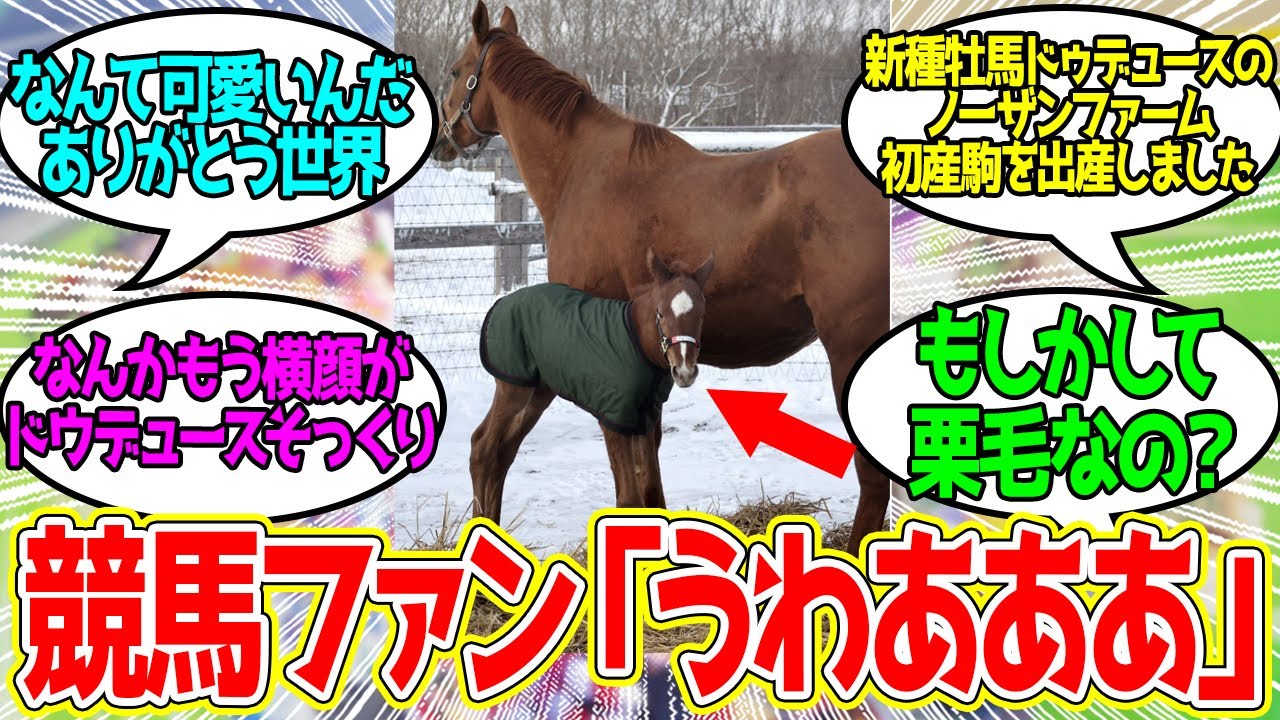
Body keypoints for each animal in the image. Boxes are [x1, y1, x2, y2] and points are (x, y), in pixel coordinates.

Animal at [471, 249, 714, 522]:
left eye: (702, 315)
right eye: (661, 313)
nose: (684, 371)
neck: (636, 341)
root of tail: (501, 302)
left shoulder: (646, 416)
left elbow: (652, 491)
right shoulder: (613, 415)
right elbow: (628, 499)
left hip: (539, 394)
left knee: (504, 449)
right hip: (513, 386)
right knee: (483, 447)